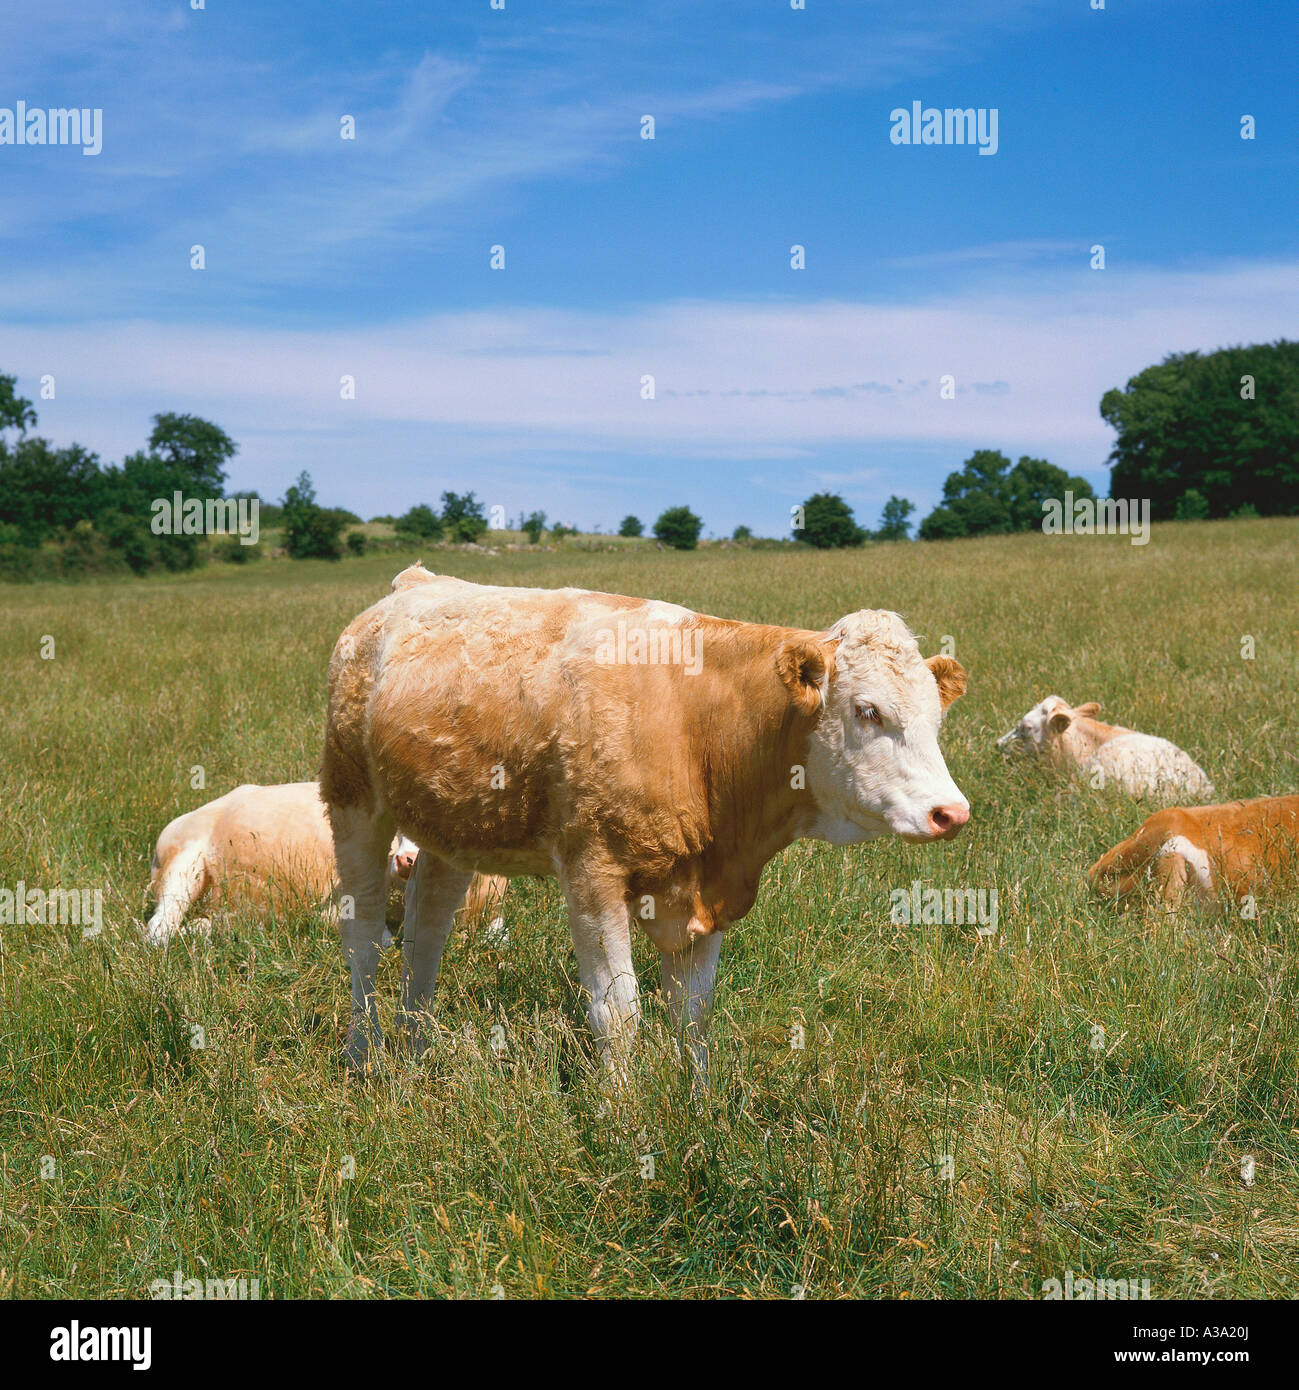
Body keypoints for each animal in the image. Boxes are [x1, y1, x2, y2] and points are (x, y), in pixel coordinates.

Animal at [144, 780, 507, 947]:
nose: (407, 861)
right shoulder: (337, 908)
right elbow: (383, 937)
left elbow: (498, 936)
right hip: (183, 865)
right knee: (160, 928)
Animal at [321, 564, 970, 1075]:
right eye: (867, 710)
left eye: (936, 717)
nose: (952, 812)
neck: (694, 725)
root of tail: (416, 582)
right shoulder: (592, 871)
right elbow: (618, 1013)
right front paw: (622, 1115)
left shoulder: (707, 888)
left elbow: (694, 1017)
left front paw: (697, 1107)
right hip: (353, 802)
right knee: (364, 939)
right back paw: (362, 1054)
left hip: (453, 826)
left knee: (426, 929)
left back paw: (414, 1048)